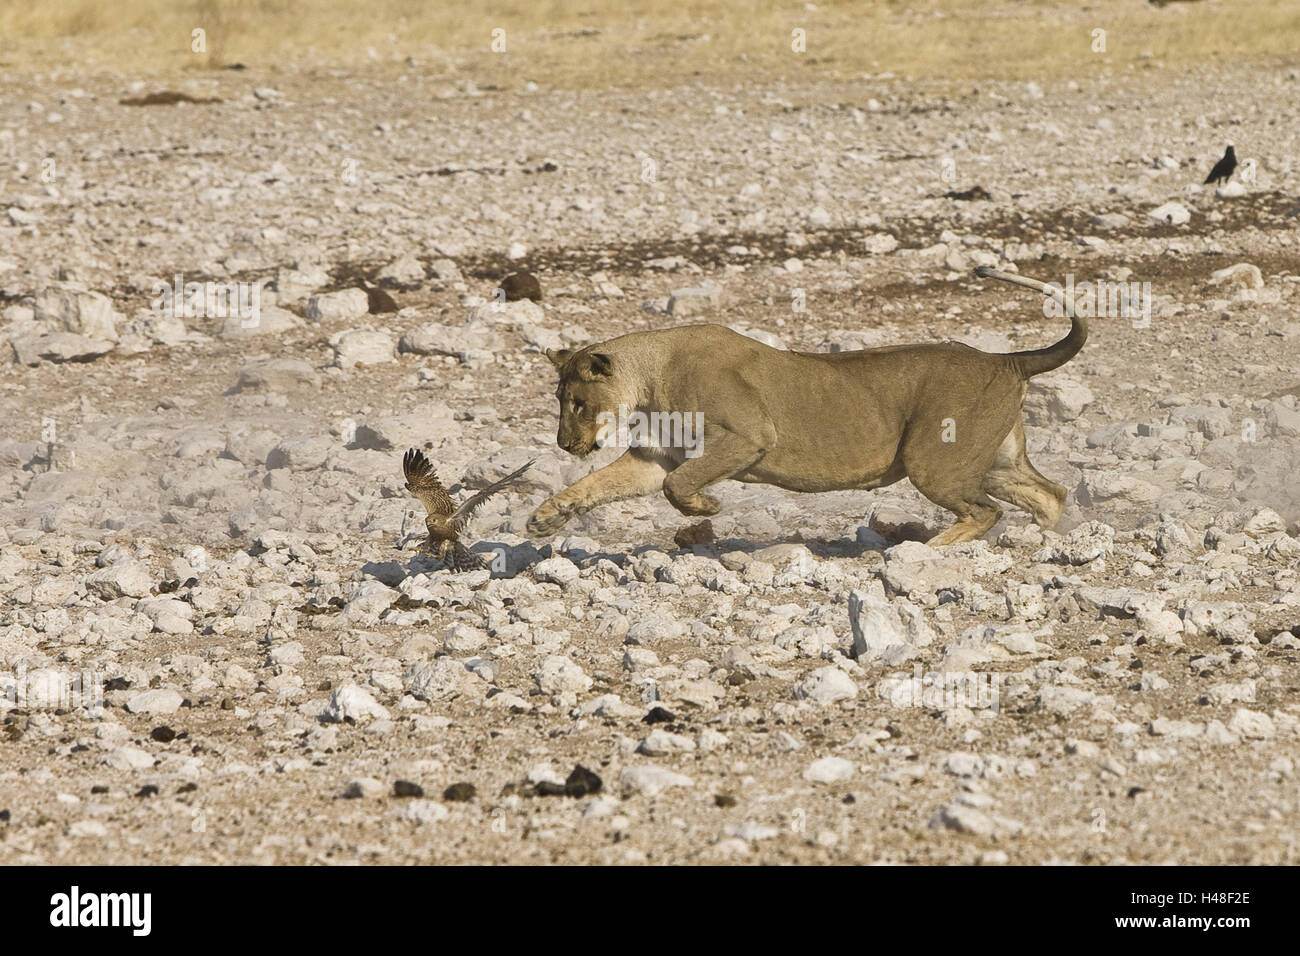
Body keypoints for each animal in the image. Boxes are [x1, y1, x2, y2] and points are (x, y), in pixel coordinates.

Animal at [527, 266, 1084, 546]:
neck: (652, 373)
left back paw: (931, 549)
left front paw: (708, 509)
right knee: (1049, 494)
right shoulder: (658, 455)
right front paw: (544, 519)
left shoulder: (748, 436)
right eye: (560, 401)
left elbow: (677, 486)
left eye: (577, 402)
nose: (564, 444)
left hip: (933, 461)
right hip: (992, 461)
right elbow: (596, 486)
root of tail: (1004, 359)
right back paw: (1048, 541)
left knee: (987, 510)